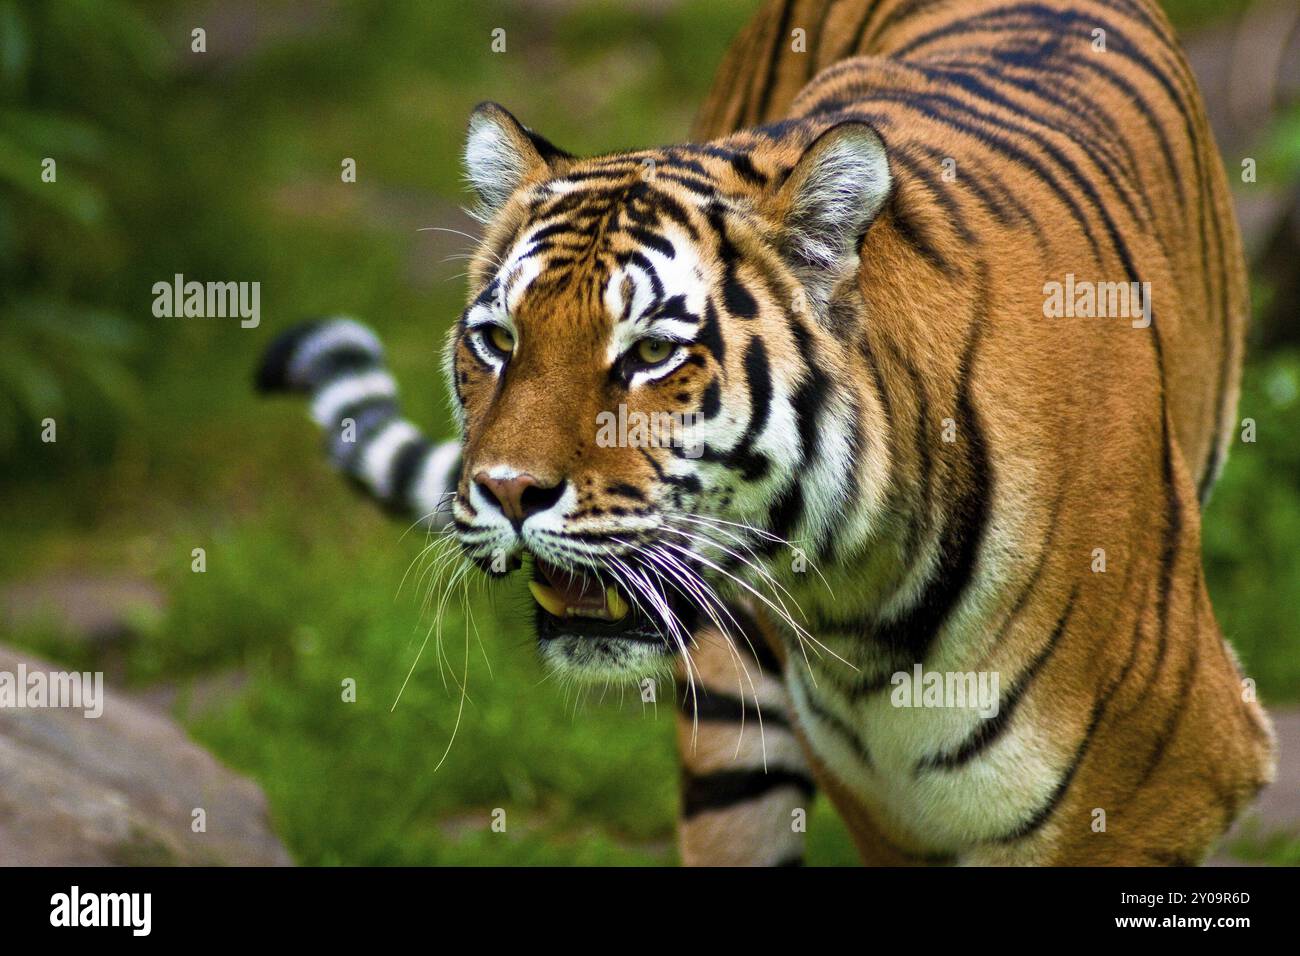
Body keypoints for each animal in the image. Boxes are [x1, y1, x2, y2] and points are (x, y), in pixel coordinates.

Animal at [259, 0, 1276, 866]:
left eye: (651, 353)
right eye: (499, 341)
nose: (505, 490)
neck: (865, 608)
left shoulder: (1157, 788)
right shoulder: (888, 809)